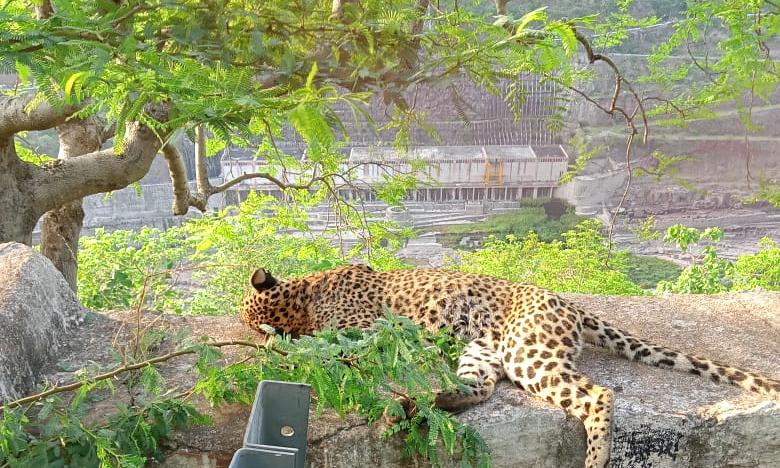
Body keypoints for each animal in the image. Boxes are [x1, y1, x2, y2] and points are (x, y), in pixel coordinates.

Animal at [239, 264, 780, 468]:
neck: (301, 298)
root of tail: (571, 305)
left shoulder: (359, 330)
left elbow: (326, 347)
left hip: (529, 353)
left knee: (597, 396)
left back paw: (595, 459)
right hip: (482, 352)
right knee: (479, 390)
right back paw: (415, 405)